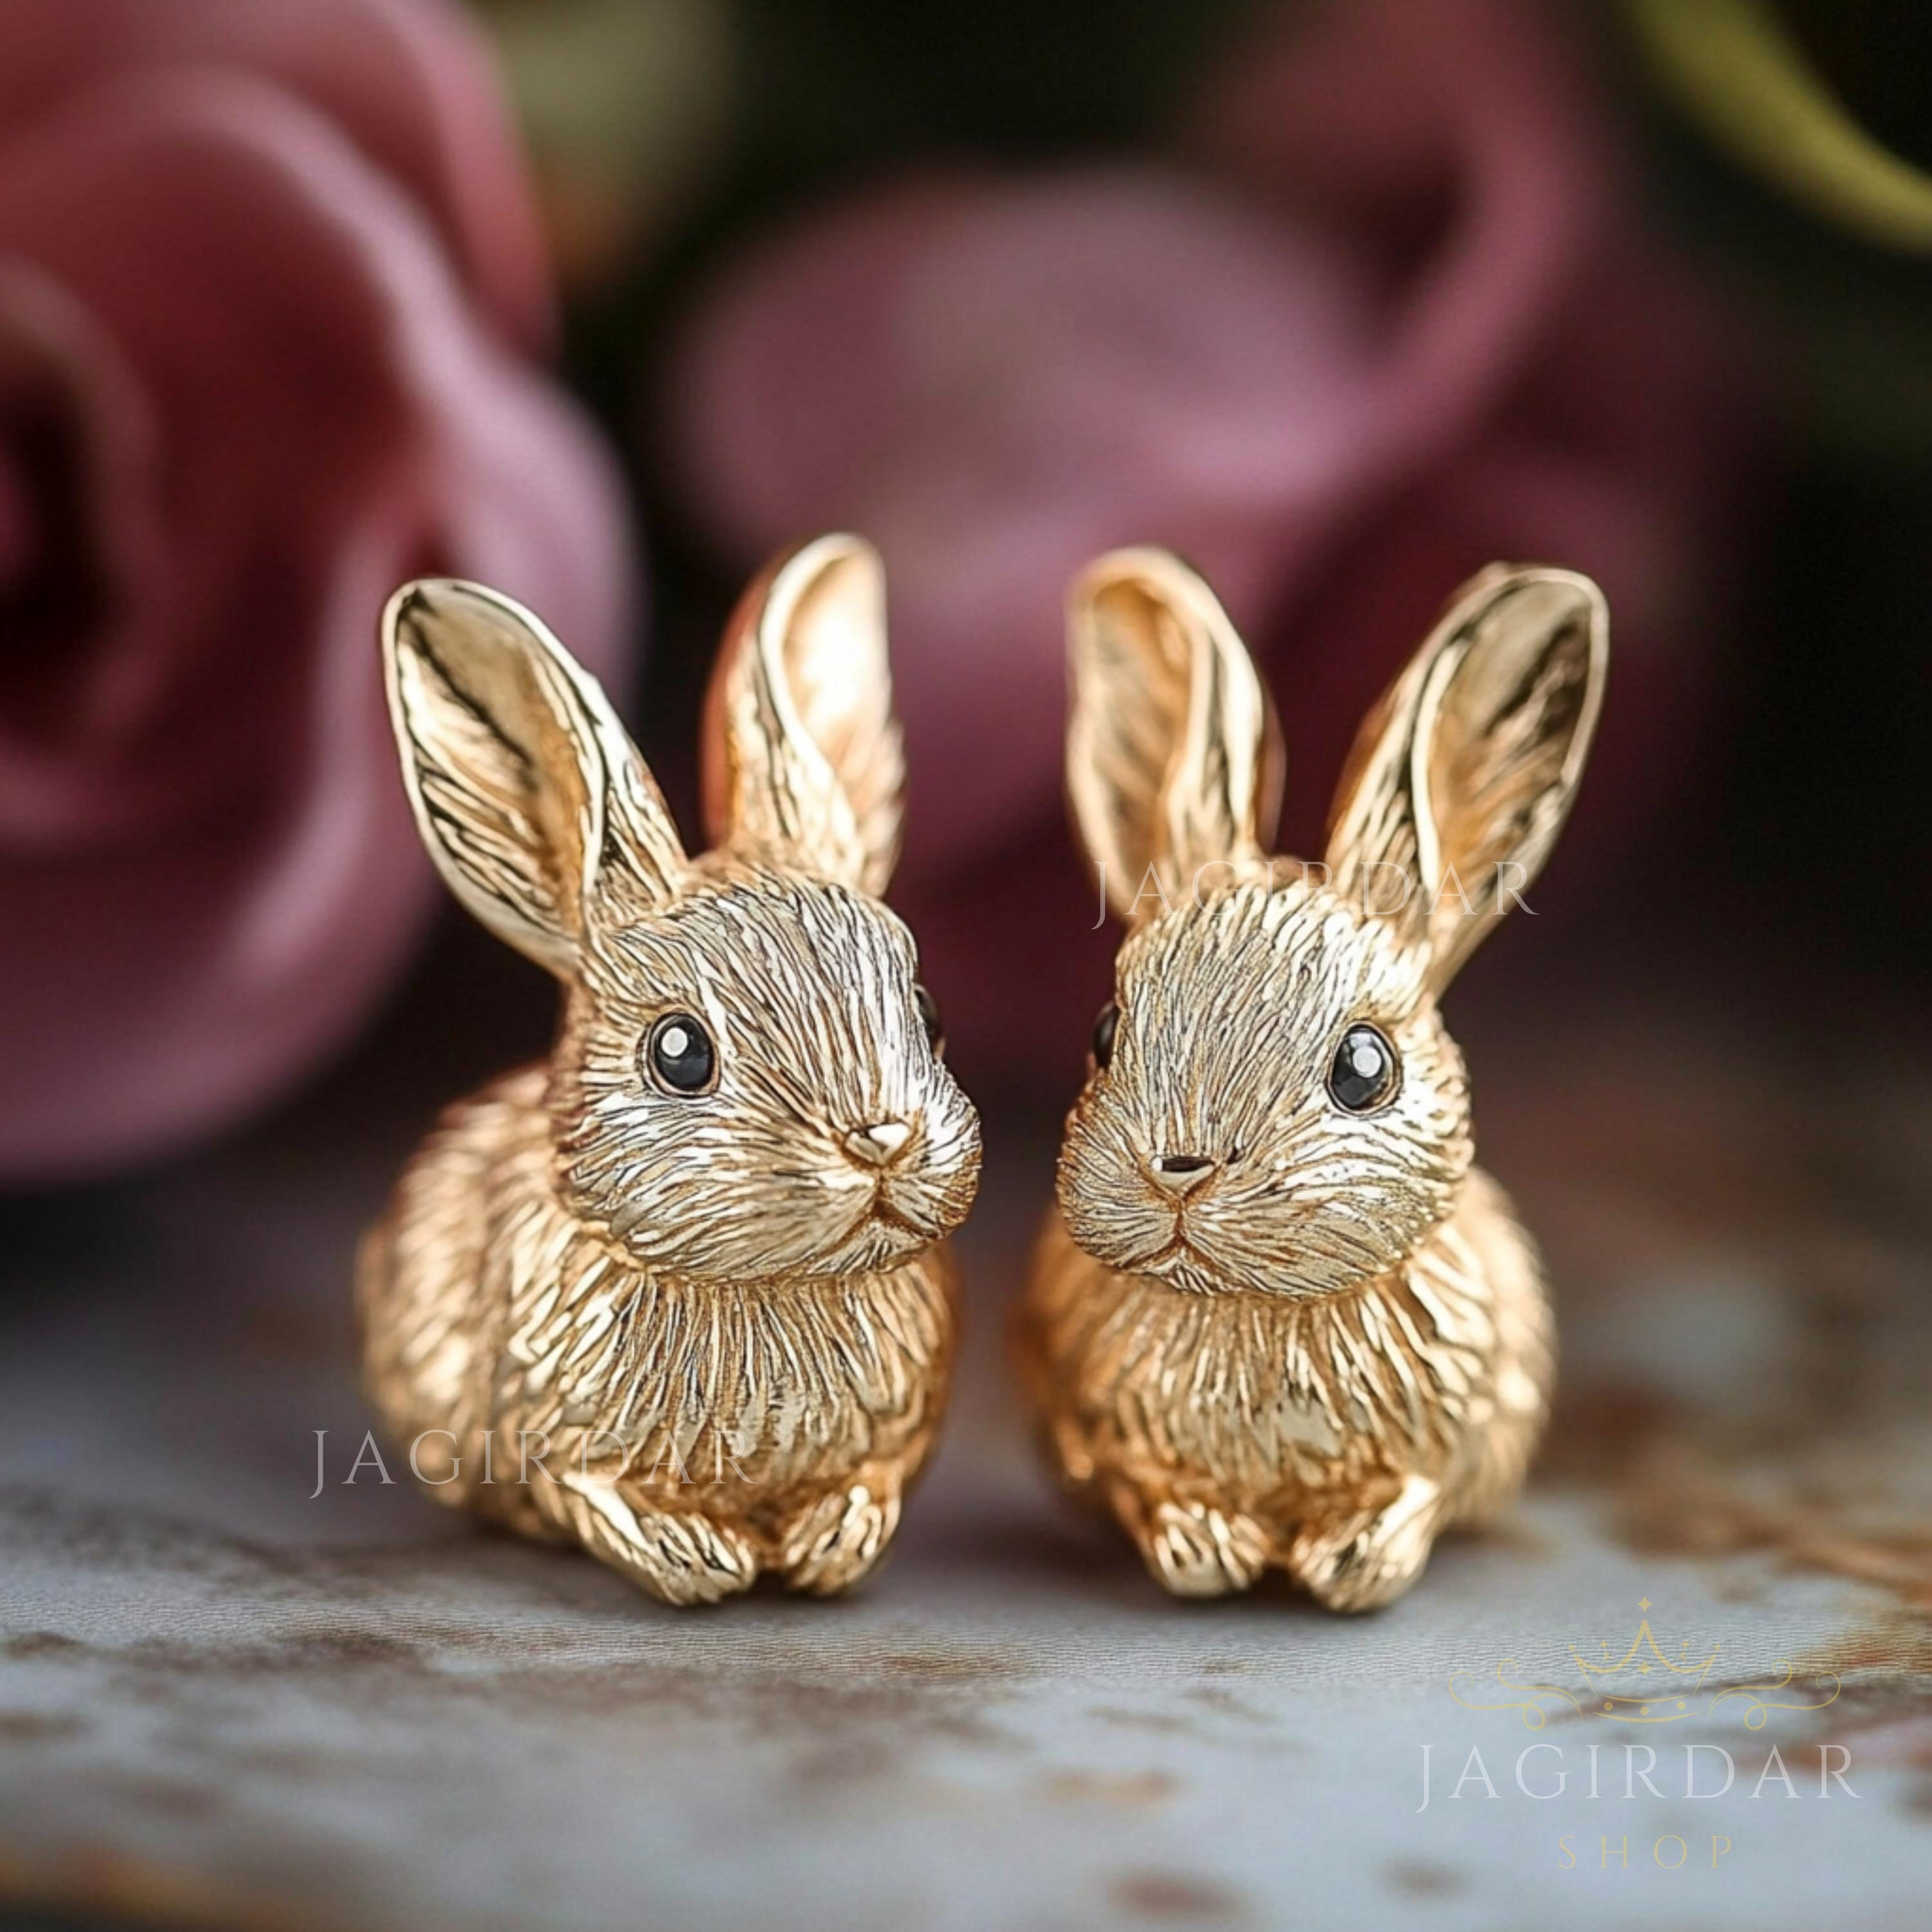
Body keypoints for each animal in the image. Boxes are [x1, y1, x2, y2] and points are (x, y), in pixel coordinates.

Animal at [357, 535, 982, 1604]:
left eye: (927, 1009)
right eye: (680, 1053)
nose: (881, 1143)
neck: (767, 1287)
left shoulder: (893, 1446)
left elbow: (872, 1483)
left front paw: (829, 1547)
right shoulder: (551, 1439)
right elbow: (593, 1499)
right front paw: (703, 1561)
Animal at [1015, 549, 1606, 1610]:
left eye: (1365, 1069)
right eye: (1104, 1033)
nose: (1180, 1171)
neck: (1254, 1309)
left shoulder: (1464, 1425)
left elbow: (1415, 1494)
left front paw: (1352, 1563)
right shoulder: (1097, 1432)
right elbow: (1140, 1484)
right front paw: (1203, 1545)